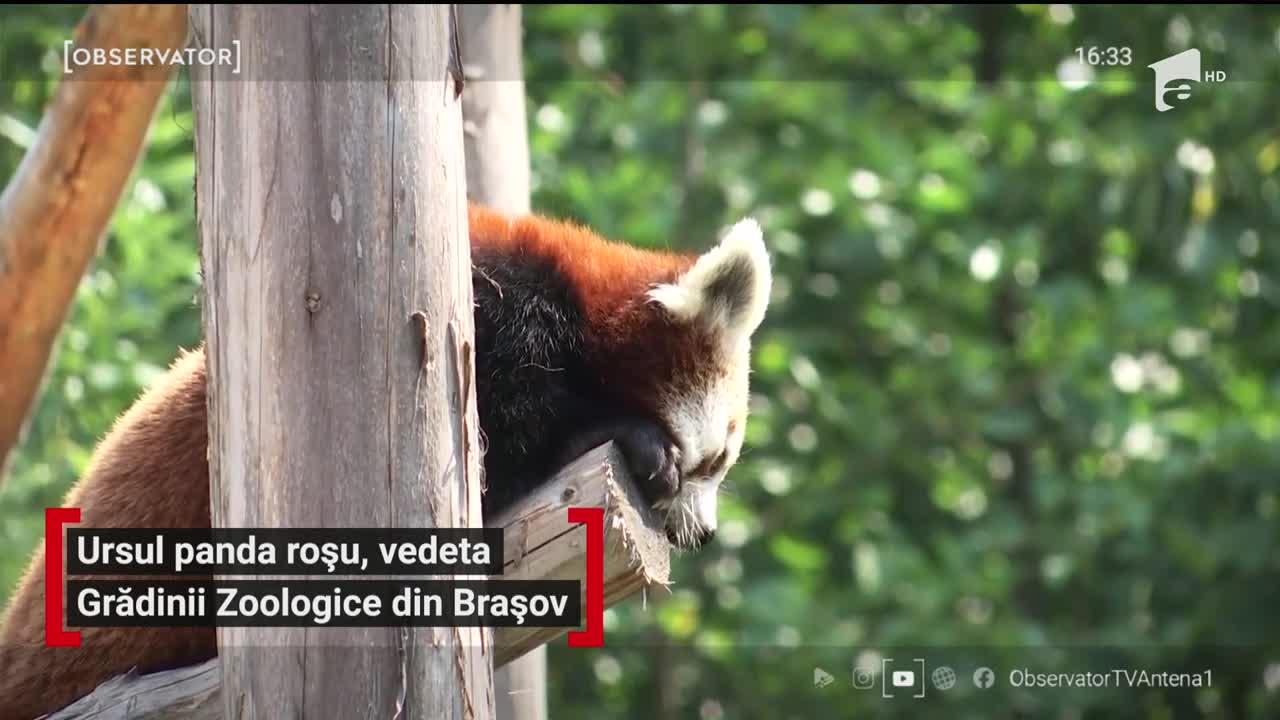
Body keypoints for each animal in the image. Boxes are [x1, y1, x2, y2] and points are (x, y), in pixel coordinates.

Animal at [0, 204, 772, 718]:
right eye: (716, 460)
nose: (703, 534)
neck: (577, 303)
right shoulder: (489, 301)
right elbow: (503, 449)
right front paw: (622, 437)